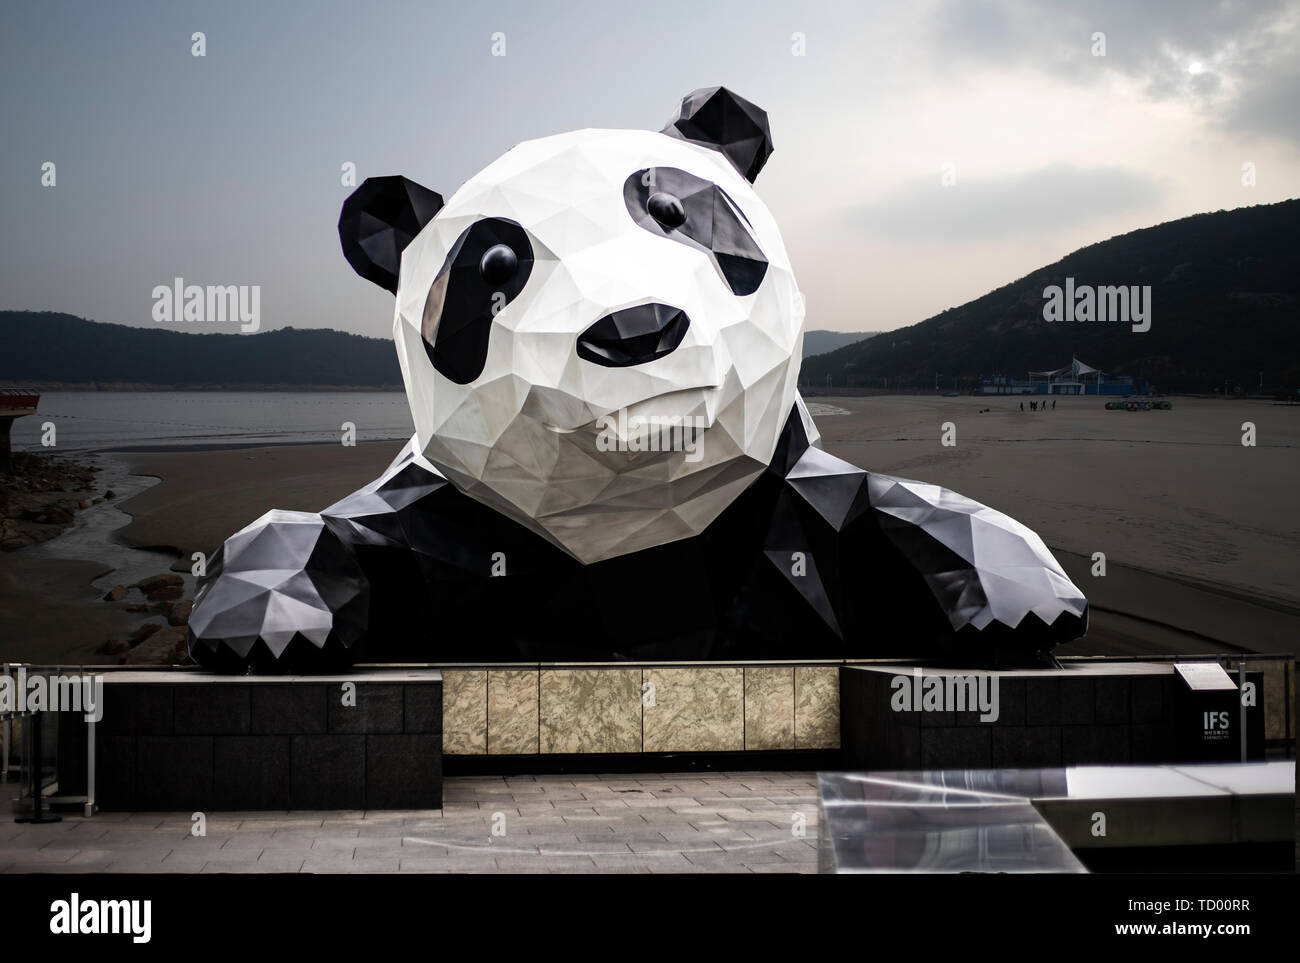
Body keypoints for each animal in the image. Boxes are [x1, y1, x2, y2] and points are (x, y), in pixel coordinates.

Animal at [188, 87, 1087, 673]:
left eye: (673, 210)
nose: (634, 327)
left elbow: (896, 509)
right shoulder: (466, 528)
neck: (635, 522)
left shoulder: (779, 505)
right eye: (496, 265)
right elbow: (343, 535)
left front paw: (1022, 600)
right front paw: (269, 617)